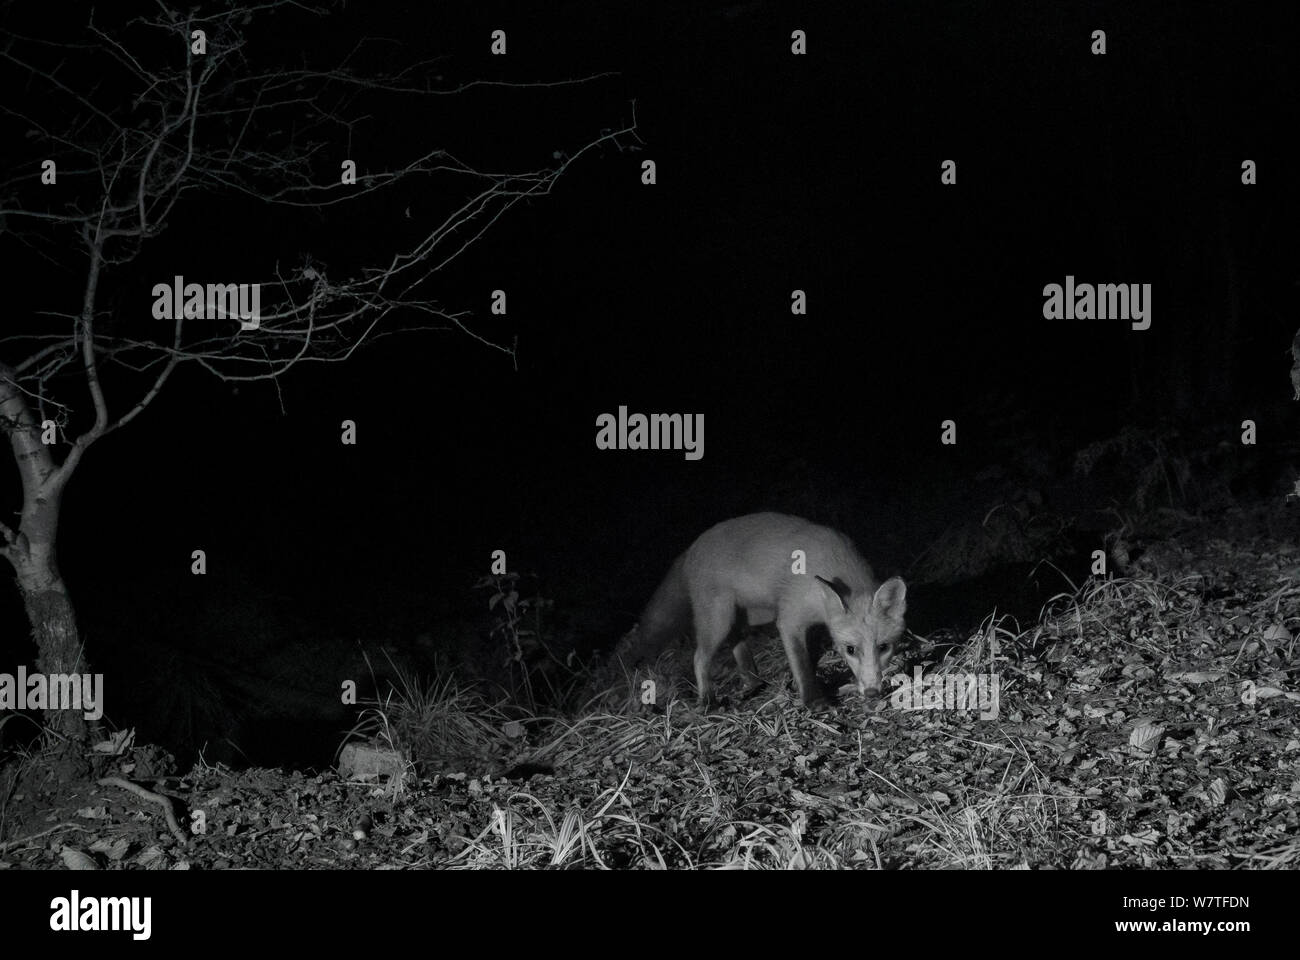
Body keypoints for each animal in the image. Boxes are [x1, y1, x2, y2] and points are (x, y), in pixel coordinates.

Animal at [634, 512, 907, 708]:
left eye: (884, 647)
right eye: (850, 649)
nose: (872, 693)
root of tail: (691, 548)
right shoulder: (789, 619)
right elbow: (801, 663)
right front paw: (813, 701)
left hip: (743, 617)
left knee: (738, 644)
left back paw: (753, 681)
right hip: (718, 620)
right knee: (699, 657)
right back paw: (708, 700)